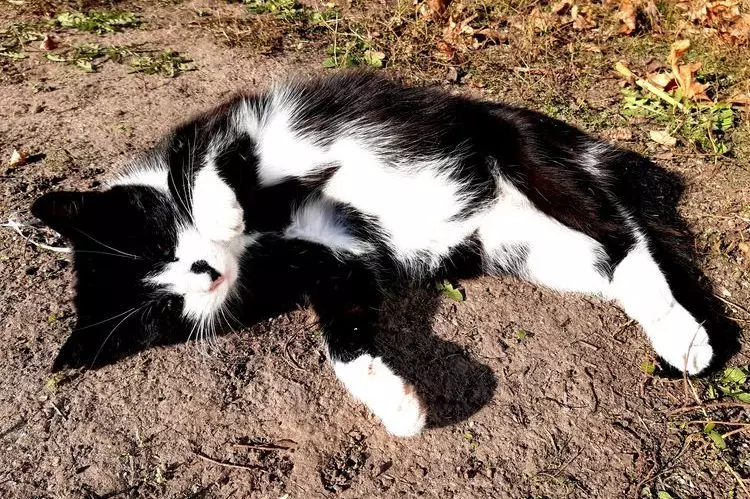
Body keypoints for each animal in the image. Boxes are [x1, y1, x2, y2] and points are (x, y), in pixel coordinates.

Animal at [33, 70, 716, 438]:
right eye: (159, 310)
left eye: (159, 240)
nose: (203, 272)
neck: (258, 239)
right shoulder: (333, 255)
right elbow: (343, 327)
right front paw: (395, 402)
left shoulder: (238, 125)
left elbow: (212, 160)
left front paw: (218, 209)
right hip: (526, 246)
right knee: (607, 260)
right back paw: (675, 332)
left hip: (526, 154)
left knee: (624, 234)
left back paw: (682, 330)